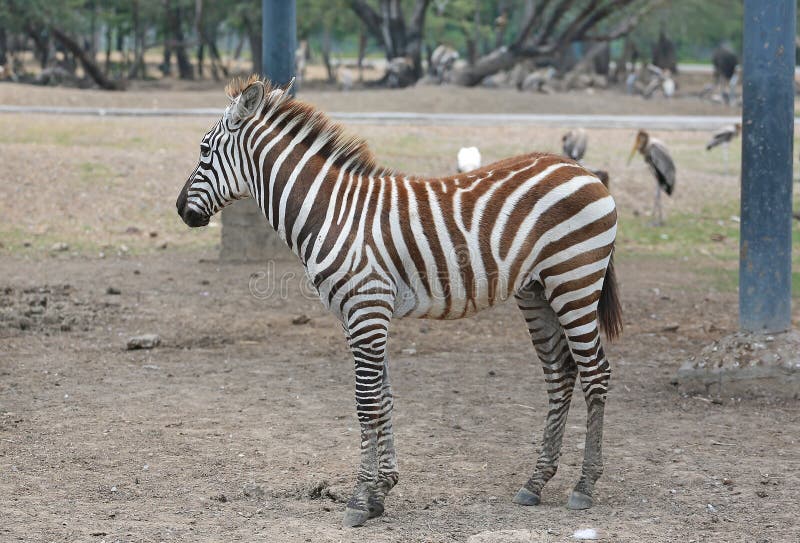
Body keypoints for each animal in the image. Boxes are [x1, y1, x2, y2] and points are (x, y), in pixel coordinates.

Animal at [176, 76, 623, 528]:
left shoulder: (367, 308)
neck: (330, 212)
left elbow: (366, 401)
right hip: (536, 291)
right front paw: (380, 492)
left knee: (596, 373)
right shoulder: (358, 315)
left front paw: (359, 499)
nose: (180, 211)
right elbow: (384, 396)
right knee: (560, 374)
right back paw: (536, 482)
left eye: (204, 151)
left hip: (574, 281)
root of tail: (581, 170)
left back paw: (584, 485)